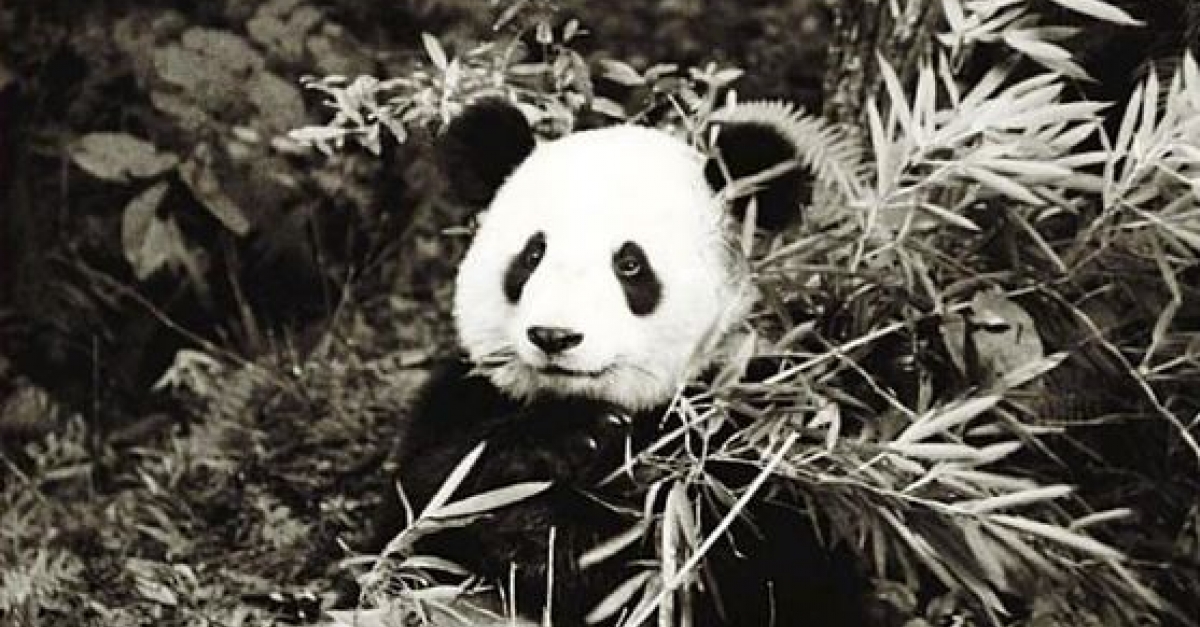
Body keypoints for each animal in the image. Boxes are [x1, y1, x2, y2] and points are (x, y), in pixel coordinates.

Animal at [374, 99, 872, 627]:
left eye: (630, 265)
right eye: (532, 254)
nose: (554, 336)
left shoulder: (755, 435)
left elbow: (756, 567)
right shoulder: (463, 398)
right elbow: (416, 519)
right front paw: (561, 444)